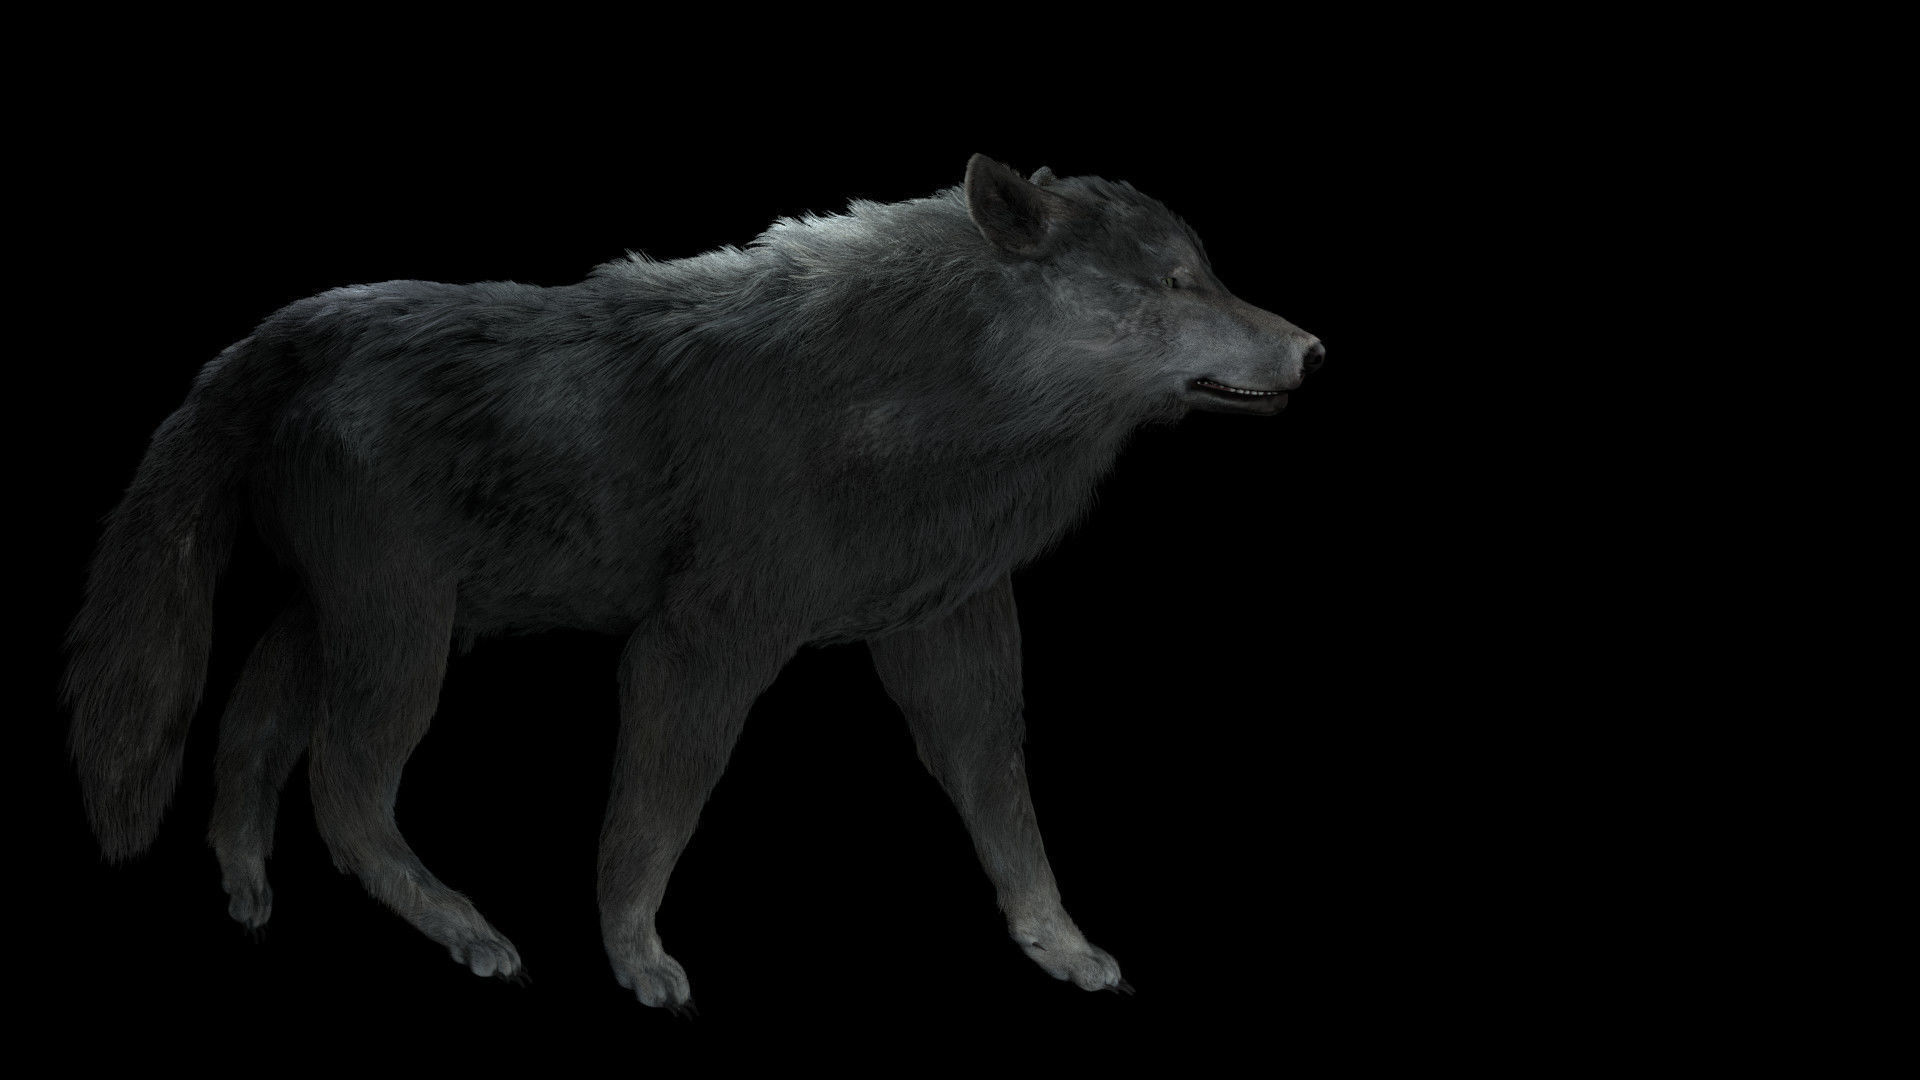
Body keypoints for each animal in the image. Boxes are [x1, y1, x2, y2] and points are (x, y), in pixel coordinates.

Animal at [64, 154, 1323, 1009]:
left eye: (1210, 272)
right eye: (1172, 282)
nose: (1313, 348)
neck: (910, 393)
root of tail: (274, 335)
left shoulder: (952, 630)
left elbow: (1008, 807)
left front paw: (1059, 944)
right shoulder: (704, 643)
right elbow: (652, 817)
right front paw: (636, 956)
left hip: (331, 622)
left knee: (246, 737)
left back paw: (247, 894)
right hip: (405, 637)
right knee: (343, 788)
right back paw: (468, 931)